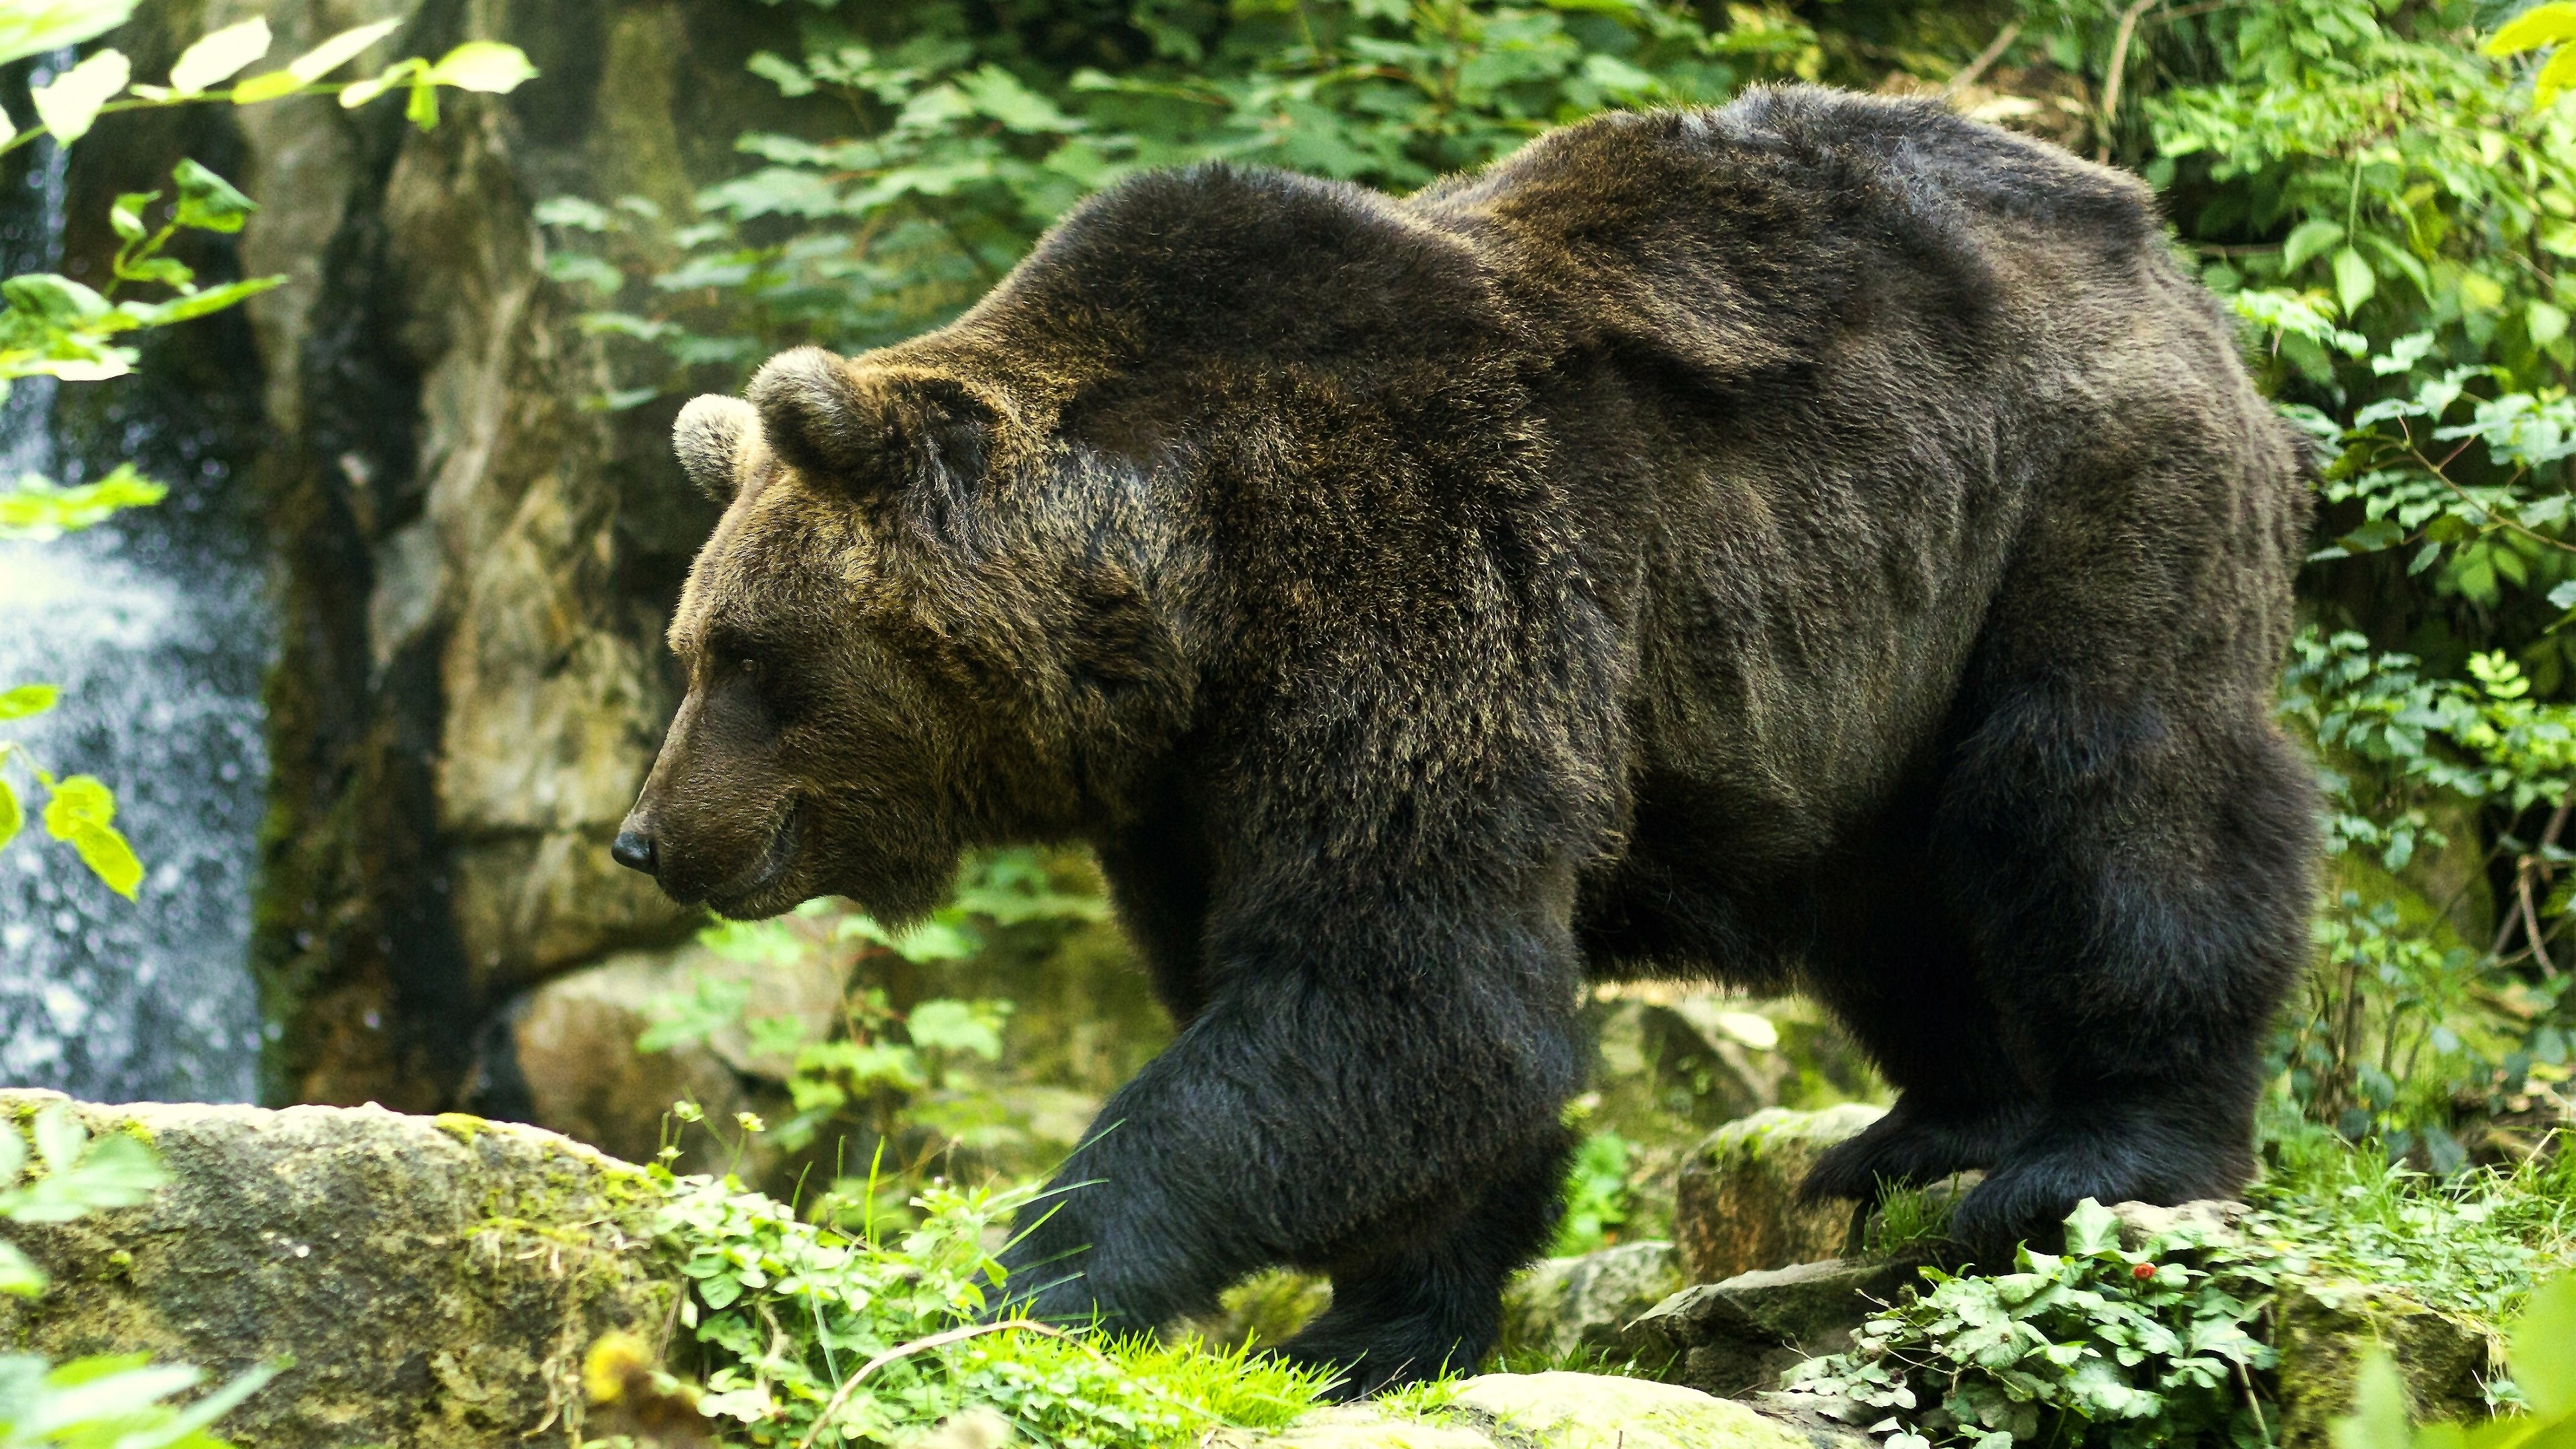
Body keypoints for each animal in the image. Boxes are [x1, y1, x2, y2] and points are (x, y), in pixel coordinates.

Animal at [611, 84, 2317, 1396]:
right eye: (694, 649)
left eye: (748, 657)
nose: (646, 834)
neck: (1180, 595)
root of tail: (2138, 222)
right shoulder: (1195, 785)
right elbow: (1368, 1025)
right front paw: (1375, 1321)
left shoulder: (1410, 580)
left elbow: (1407, 985)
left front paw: (1035, 1271)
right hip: (1877, 643)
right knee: (1884, 888)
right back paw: (1918, 1130)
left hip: (2065, 493)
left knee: (2107, 790)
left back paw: (2098, 1151)